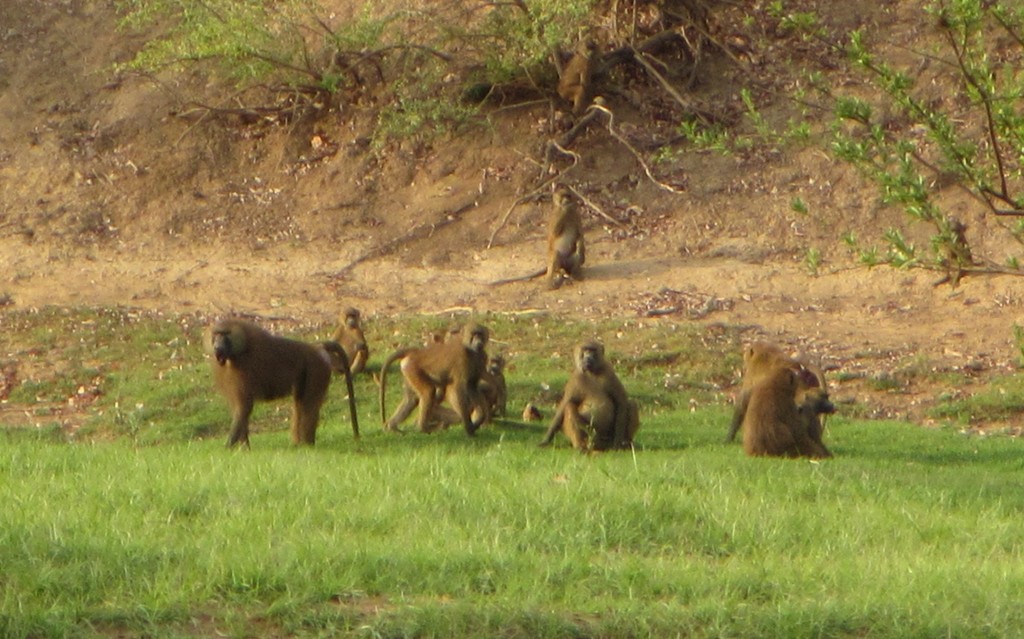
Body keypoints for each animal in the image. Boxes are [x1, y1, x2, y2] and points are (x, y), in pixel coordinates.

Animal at [206, 319, 359, 448]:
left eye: (224, 335)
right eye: (216, 335)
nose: (217, 347)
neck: (238, 353)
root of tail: (316, 347)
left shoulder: (245, 371)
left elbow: (244, 407)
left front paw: (227, 448)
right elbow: (238, 409)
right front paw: (244, 448)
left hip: (316, 367)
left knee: (308, 406)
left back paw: (307, 445)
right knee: (300, 405)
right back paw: (298, 444)